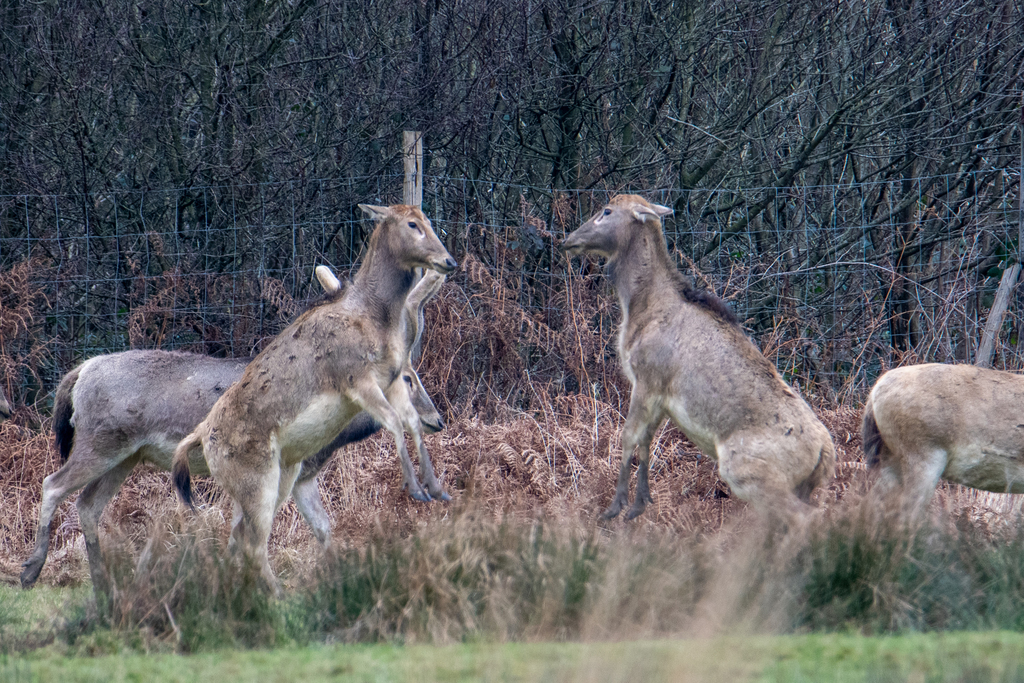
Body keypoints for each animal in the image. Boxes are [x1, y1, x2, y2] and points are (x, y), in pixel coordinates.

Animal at [20, 262, 447, 595]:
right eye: (408, 378)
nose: (437, 419)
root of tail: (78, 373)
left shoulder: (303, 476)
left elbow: (323, 528)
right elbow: (247, 533)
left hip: (124, 456)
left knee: (87, 504)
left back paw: (103, 584)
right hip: (100, 441)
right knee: (53, 484)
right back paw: (31, 570)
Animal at [172, 203, 457, 591]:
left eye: (427, 220)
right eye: (413, 224)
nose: (449, 261)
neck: (376, 320)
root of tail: (200, 437)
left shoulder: (385, 380)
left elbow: (407, 423)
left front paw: (435, 489)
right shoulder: (355, 376)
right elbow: (396, 423)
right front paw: (415, 488)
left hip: (277, 476)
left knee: (240, 537)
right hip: (255, 480)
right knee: (252, 542)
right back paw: (276, 595)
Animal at [561, 194, 835, 523]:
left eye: (607, 211)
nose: (568, 239)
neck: (637, 307)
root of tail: (825, 457)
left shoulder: (648, 377)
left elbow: (627, 436)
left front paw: (615, 508)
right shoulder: (661, 397)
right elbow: (646, 442)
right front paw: (640, 504)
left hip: (750, 474)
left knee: (804, 519)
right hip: (797, 488)